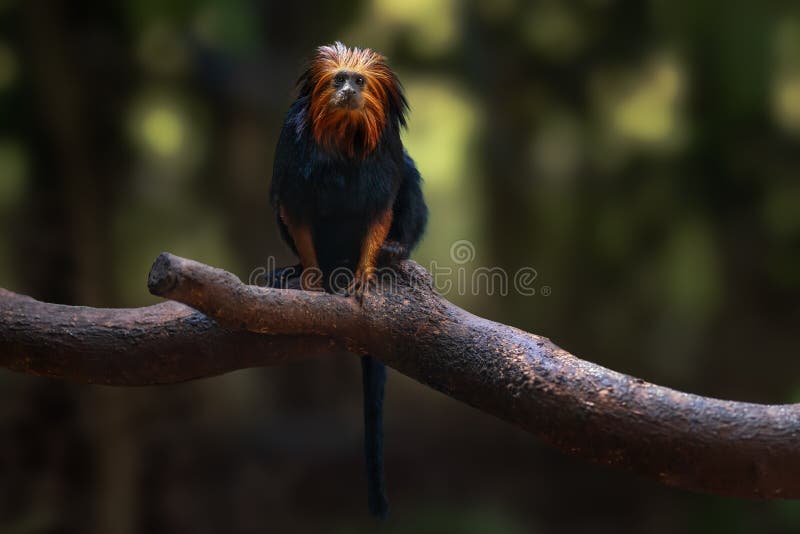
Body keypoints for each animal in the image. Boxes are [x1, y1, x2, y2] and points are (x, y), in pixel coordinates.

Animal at [269, 42, 428, 519]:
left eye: (359, 81)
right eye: (338, 78)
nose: (346, 91)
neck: (341, 134)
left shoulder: (387, 150)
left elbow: (382, 206)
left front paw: (366, 272)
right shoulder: (291, 147)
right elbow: (295, 207)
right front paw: (310, 276)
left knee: (409, 179)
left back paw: (394, 256)